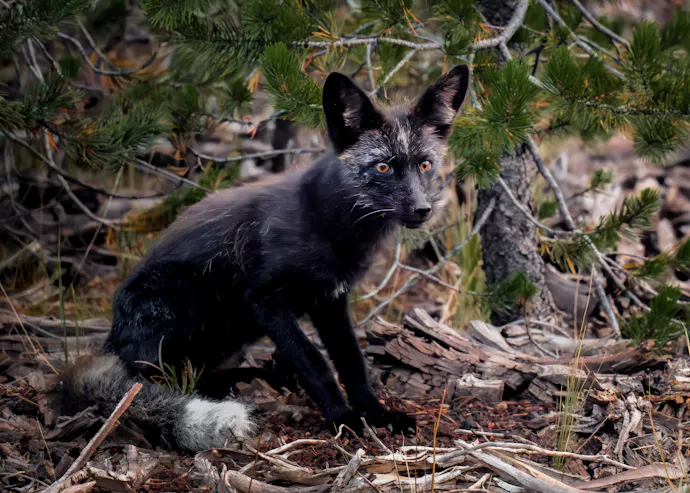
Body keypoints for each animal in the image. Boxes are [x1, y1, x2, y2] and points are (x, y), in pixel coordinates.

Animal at [54, 65, 470, 452]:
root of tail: (111, 338)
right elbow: (316, 362)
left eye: (425, 165)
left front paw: (377, 413)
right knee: (155, 379)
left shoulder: (330, 300)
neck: (330, 225)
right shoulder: (265, 299)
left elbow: (352, 362)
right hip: (191, 306)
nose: (423, 210)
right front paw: (343, 418)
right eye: (383, 166)